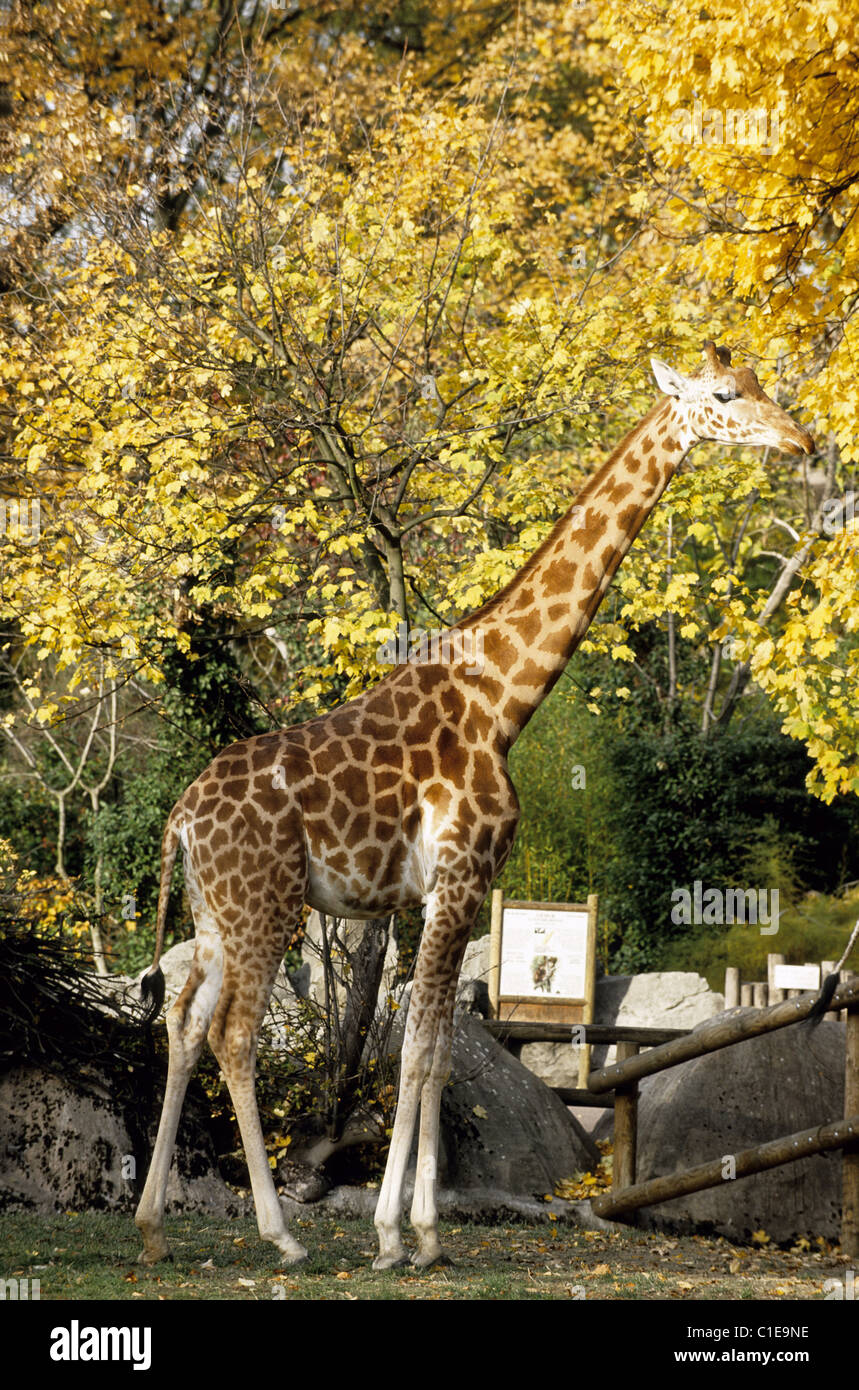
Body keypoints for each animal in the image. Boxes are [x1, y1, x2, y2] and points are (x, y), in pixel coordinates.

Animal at [135, 342, 814, 1271]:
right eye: (722, 394)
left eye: (756, 385)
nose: (800, 440)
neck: (501, 700)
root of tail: (180, 819)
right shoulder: (456, 883)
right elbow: (418, 1056)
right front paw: (401, 1236)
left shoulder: (443, 893)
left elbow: (434, 1054)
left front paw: (416, 1232)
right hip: (265, 905)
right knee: (233, 1036)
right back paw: (283, 1237)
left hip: (214, 915)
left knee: (182, 1021)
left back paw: (152, 1227)